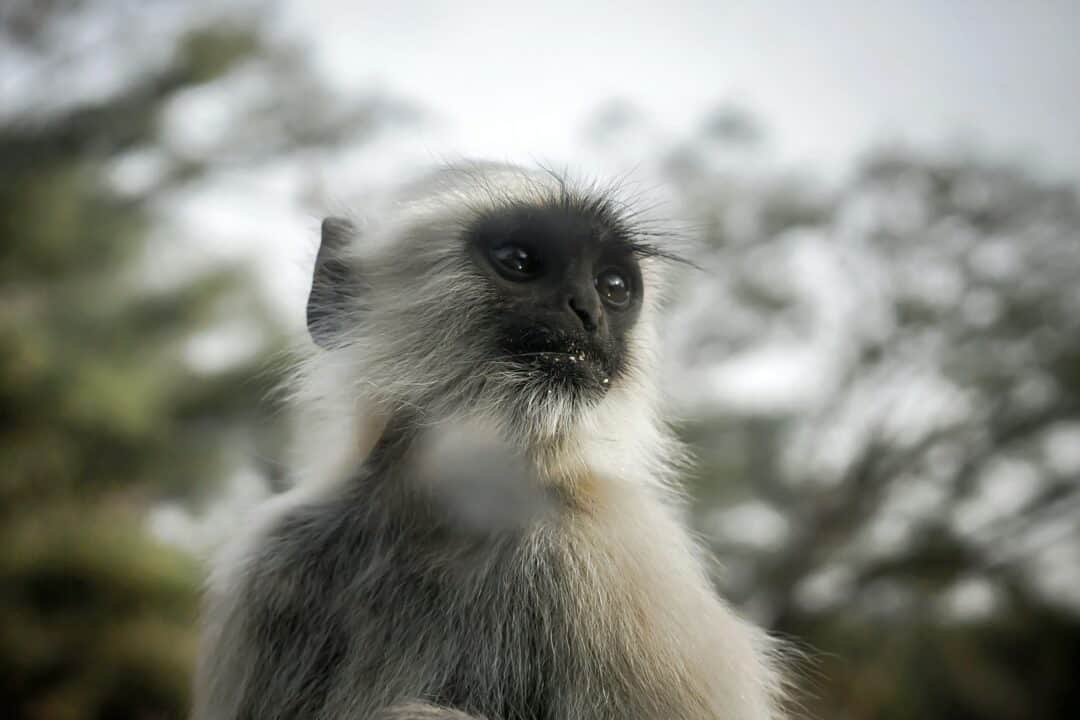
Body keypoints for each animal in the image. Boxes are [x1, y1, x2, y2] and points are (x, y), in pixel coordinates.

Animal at [192, 163, 789, 720]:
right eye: (519, 260)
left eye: (614, 288)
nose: (588, 310)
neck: (447, 514)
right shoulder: (273, 559)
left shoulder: (621, 552)